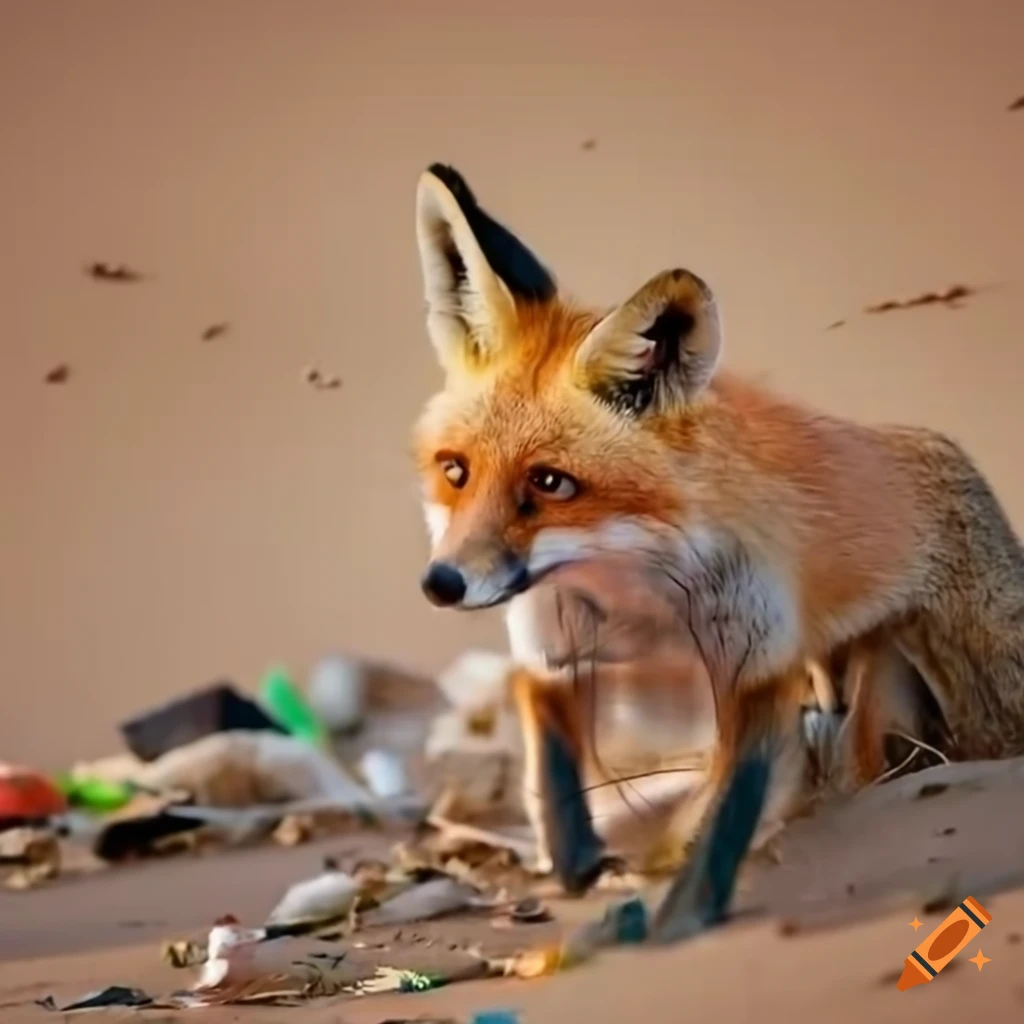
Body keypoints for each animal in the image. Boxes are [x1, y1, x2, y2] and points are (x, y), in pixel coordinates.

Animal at [410, 162, 1024, 941]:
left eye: (550, 484)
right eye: (455, 470)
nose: (442, 583)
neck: (630, 591)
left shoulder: (754, 662)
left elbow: (724, 818)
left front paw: (682, 918)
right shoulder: (547, 639)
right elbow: (551, 766)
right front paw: (577, 863)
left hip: (974, 699)